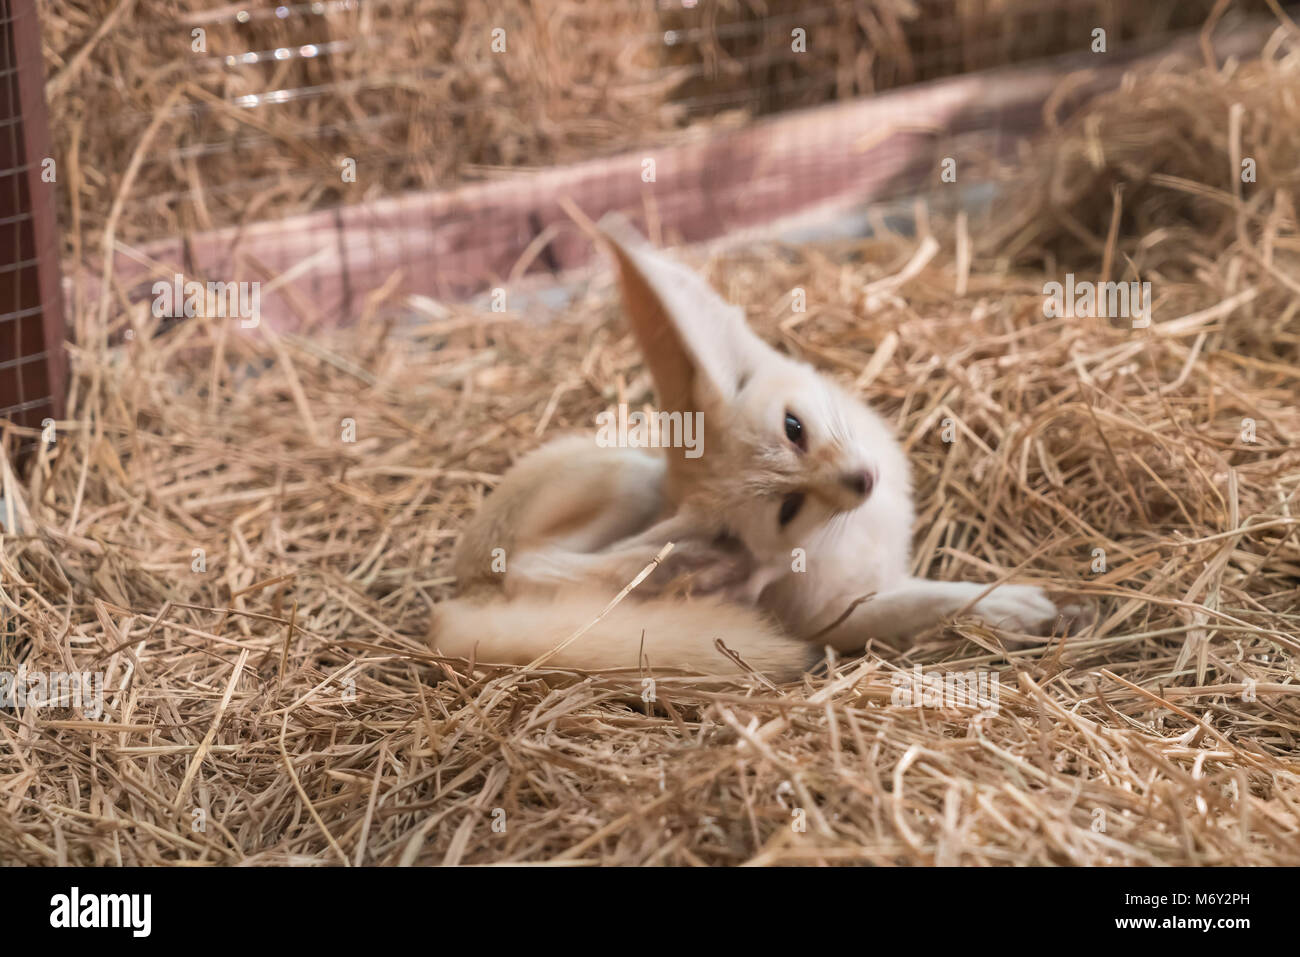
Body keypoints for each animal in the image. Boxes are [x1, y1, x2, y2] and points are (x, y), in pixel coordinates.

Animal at [433, 217, 1082, 679]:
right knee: (539, 570)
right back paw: (692, 568)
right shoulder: (838, 615)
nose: (863, 482)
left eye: (795, 429)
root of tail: (459, 595)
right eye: (788, 510)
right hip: (623, 480)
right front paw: (1007, 606)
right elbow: (926, 602)